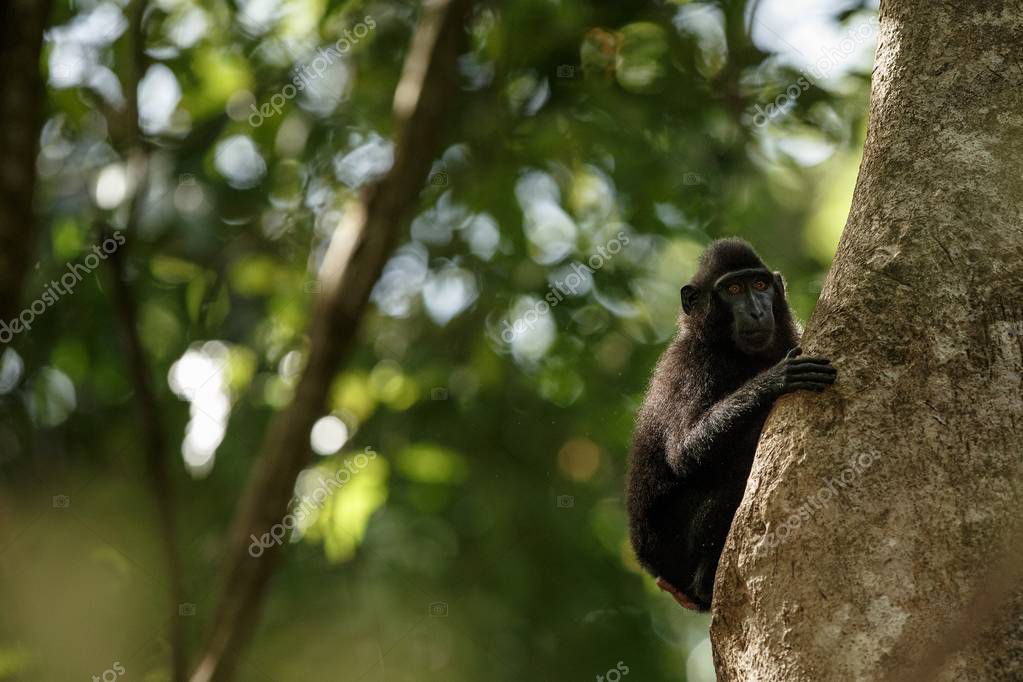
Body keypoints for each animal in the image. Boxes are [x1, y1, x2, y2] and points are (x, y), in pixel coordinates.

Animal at [625, 238, 836, 611]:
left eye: (760, 285)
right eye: (733, 289)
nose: (756, 311)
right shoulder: (692, 366)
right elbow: (684, 453)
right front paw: (775, 380)